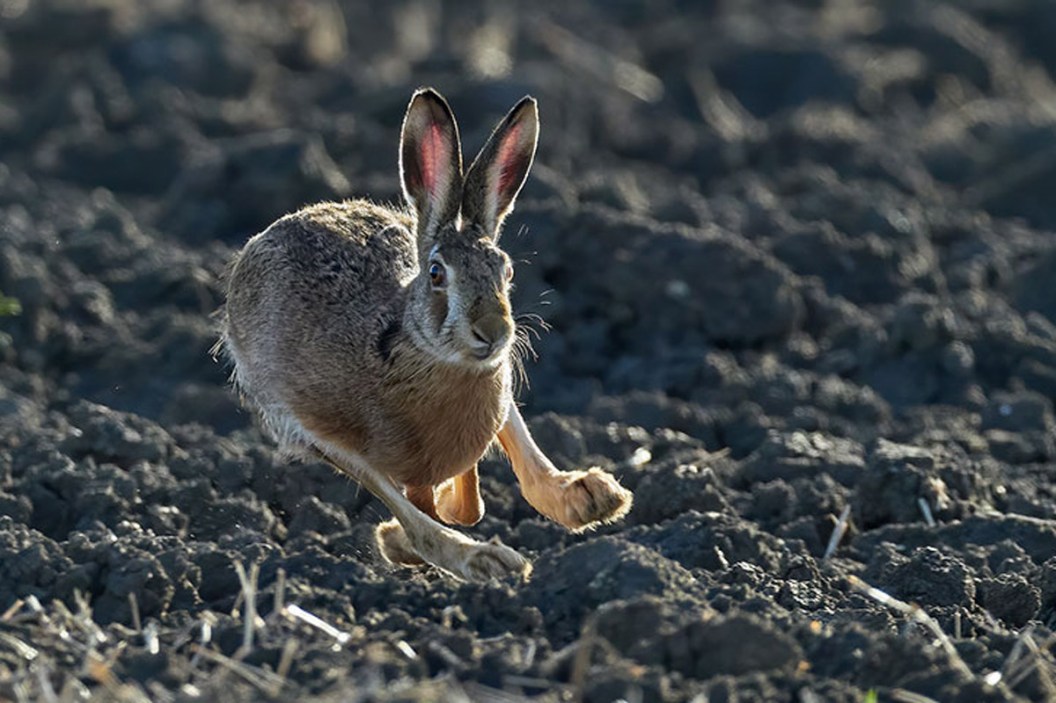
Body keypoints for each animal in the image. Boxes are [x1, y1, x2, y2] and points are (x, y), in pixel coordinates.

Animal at [217, 88, 633, 581]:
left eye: (506, 271)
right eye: (436, 273)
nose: (493, 332)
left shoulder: (496, 389)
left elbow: (487, 483)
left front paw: (592, 498)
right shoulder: (320, 431)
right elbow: (415, 520)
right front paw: (477, 559)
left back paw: (582, 495)